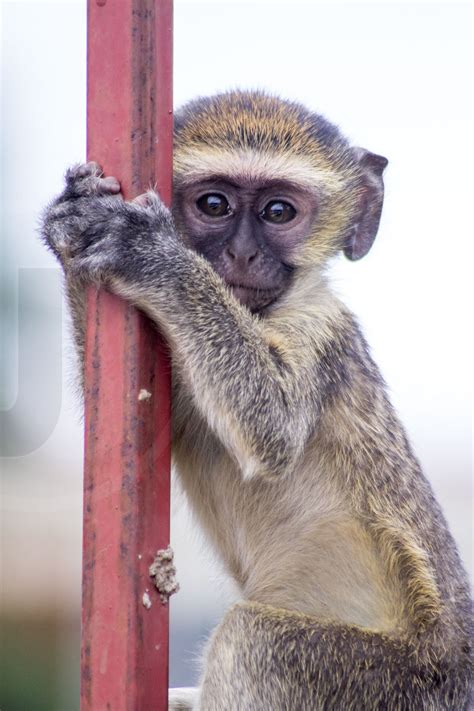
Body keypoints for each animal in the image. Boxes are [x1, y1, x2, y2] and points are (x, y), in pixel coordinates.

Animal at [41, 90, 472, 710]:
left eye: (278, 213)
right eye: (214, 204)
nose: (243, 254)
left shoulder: (320, 328)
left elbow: (271, 425)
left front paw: (147, 252)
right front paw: (73, 218)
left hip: (386, 686)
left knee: (255, 636)